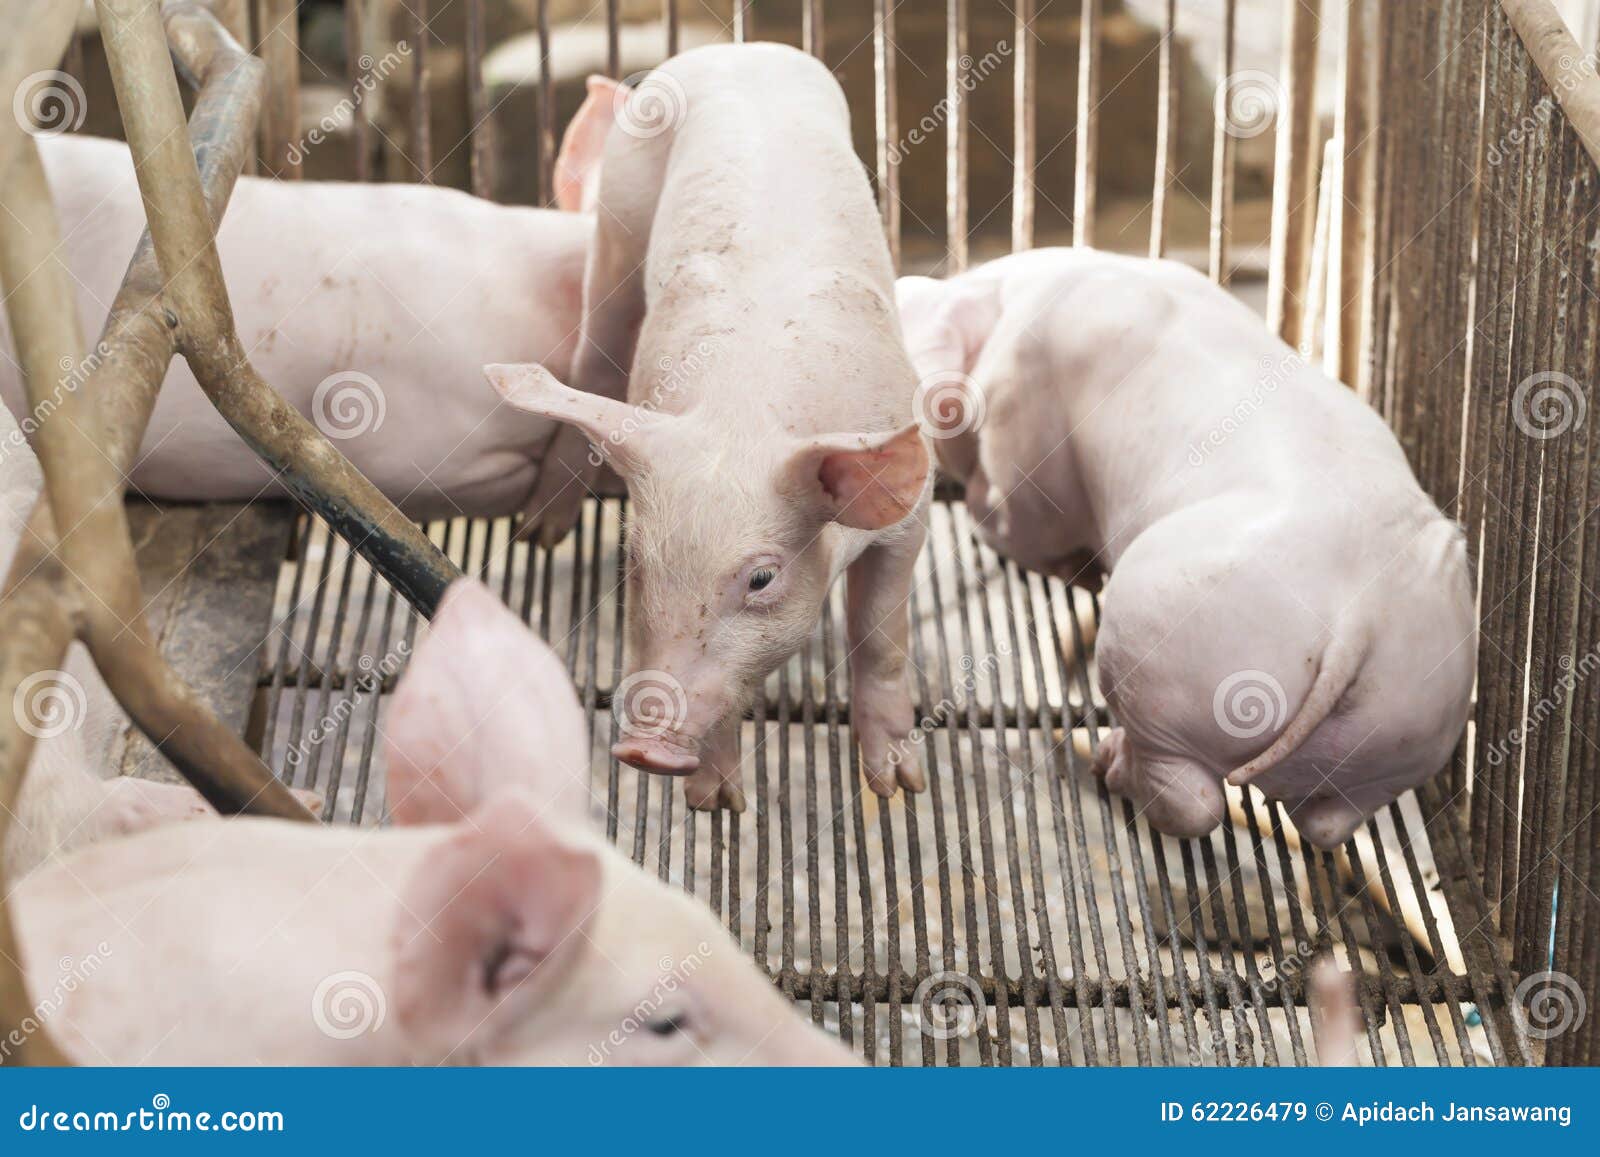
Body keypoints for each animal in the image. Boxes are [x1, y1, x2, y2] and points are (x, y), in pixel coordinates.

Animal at [484, 46, 933, 814]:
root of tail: (734, 49)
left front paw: (897, 787)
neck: (743, 413)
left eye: (760, 577)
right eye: (636, 560)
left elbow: (882, 637)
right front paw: (717, 805)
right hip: (620, 220)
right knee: (590, 362)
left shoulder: (909, 515)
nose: (643, 747)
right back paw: (539, 534)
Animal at [896, 248, 1476, 850]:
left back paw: (1110, 763)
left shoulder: (1025, 436)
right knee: (1328, 823)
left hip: (1155, 646)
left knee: (1191, 801)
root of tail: (1359, 618)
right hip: (1406, 734)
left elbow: (1010, 516)